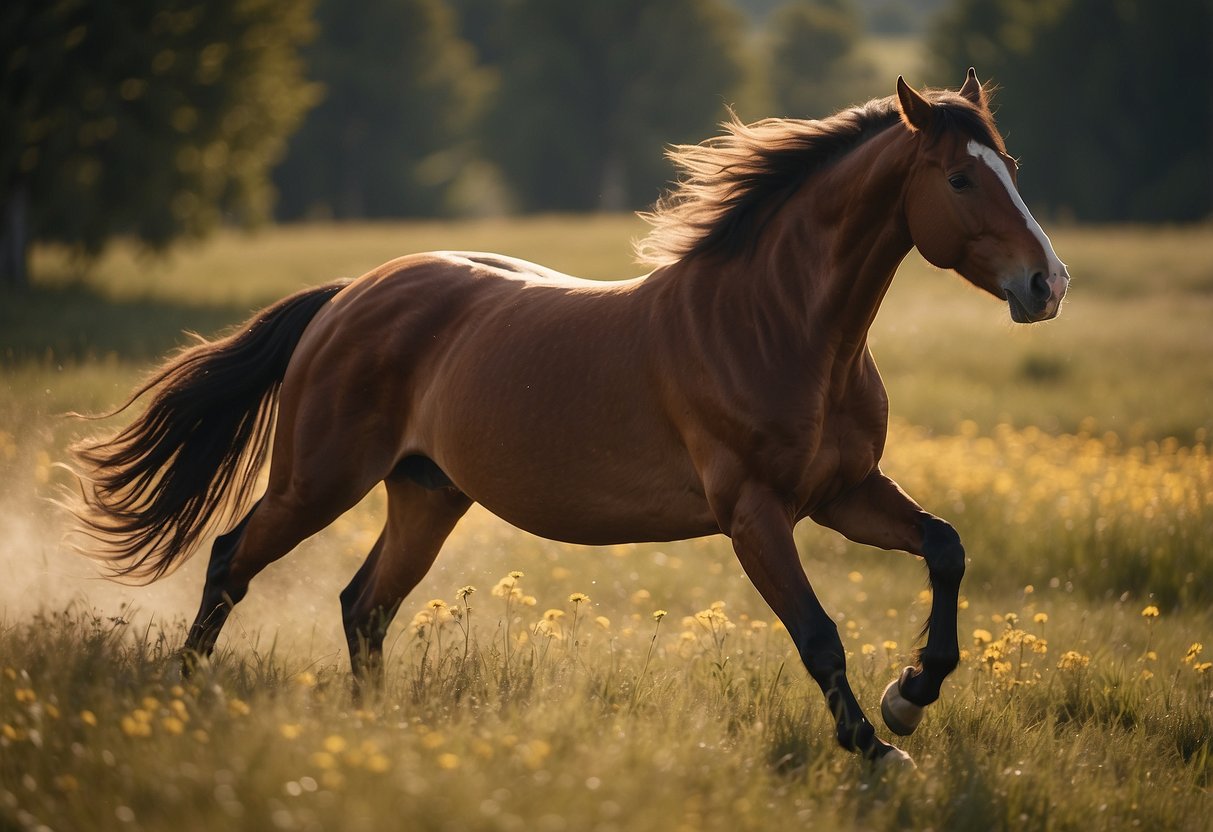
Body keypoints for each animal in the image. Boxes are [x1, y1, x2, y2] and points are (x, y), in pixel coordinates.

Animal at [73, 70, 1068, 765]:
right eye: (959, 179)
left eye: (1013, 170)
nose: (1046, 284)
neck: (779, 326)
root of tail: (349, 294)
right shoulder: (755, 513)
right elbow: (818, 634)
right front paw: (879, 746)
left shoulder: (844, 493)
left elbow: (944, 547)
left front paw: (911, 692)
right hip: (318, 479)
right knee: (231, 562)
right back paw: (182, 698)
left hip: (426, 494)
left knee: (363, 605)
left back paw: (371, 727)